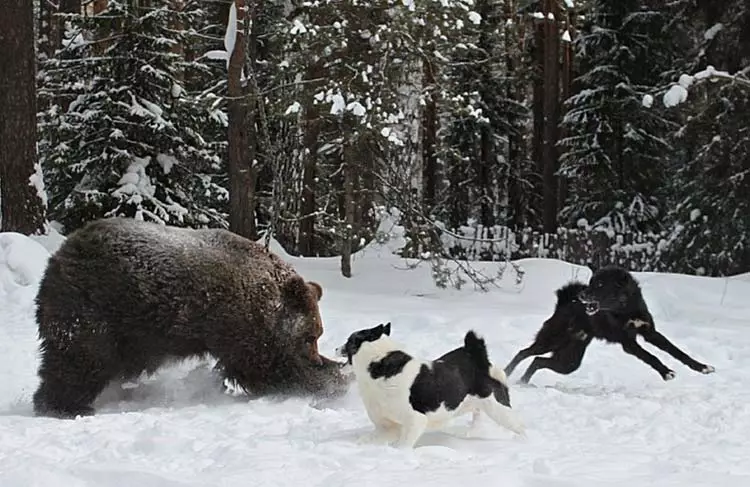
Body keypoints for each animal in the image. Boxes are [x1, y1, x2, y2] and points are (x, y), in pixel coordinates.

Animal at [29, 218, 346, 420]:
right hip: (98, 307)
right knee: (82, 356)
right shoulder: (241, 322)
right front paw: (329, 383)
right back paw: (66, 405)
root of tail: (61, 254)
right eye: (311, 335)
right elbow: (269, 367)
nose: (316, 357)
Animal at [338, 324, 524, 450]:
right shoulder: (388, 426)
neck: (379, 359)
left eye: (349, 340)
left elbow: (403, 446)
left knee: (521, 429)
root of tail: (481, 362)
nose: (336, 347)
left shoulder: (415, 420)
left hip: (498, 409)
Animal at [506, 266, 716, 386]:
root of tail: (563, 305)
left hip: (569, 361)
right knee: (523, 353)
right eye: (591, 282)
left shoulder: (651, 333)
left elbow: (677, 351)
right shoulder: (628, 343)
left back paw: (524, 381)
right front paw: (666, 372)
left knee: (538, 361)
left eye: (600, 284)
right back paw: (508, 373)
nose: (582, 295)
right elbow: (651, 356)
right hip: (551, 341)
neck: (626, 310)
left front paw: (702, 367)